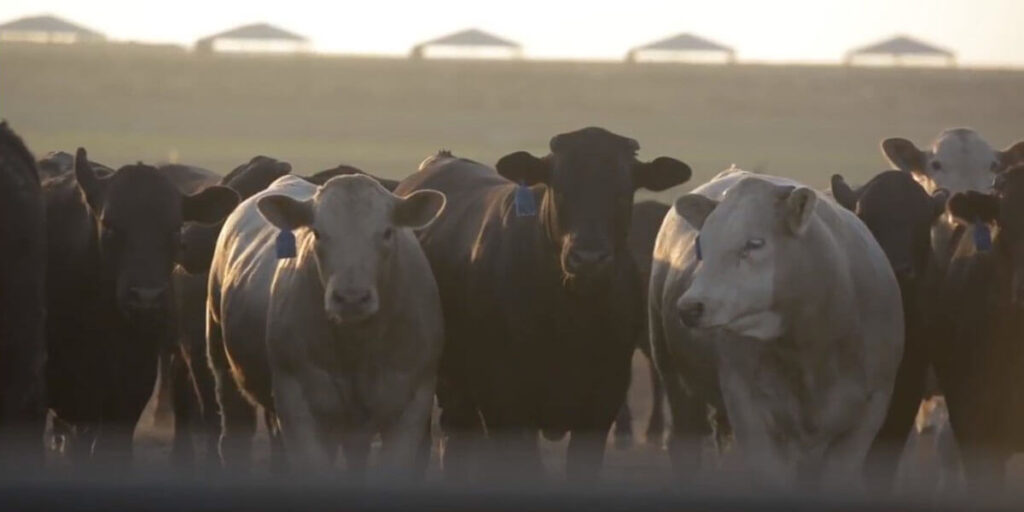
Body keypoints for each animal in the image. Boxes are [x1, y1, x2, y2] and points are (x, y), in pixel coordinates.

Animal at [207, 174, 445, 476]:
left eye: (387, 232)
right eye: (318, 233)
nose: (351, 297)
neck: (357, 349)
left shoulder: (411, 406)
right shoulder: (298, 406)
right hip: (223, 365)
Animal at [394, 127, 692, 481]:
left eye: (622, 192)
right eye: (560, 189)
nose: (587, 258)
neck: (570, 316)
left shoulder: (603, 400)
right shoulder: (504, 401)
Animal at [651, 168, 903, 487]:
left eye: (754, 244)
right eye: (700, 246)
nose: (689, 307)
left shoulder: (870, 411)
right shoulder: (748, 408)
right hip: (675, 380)